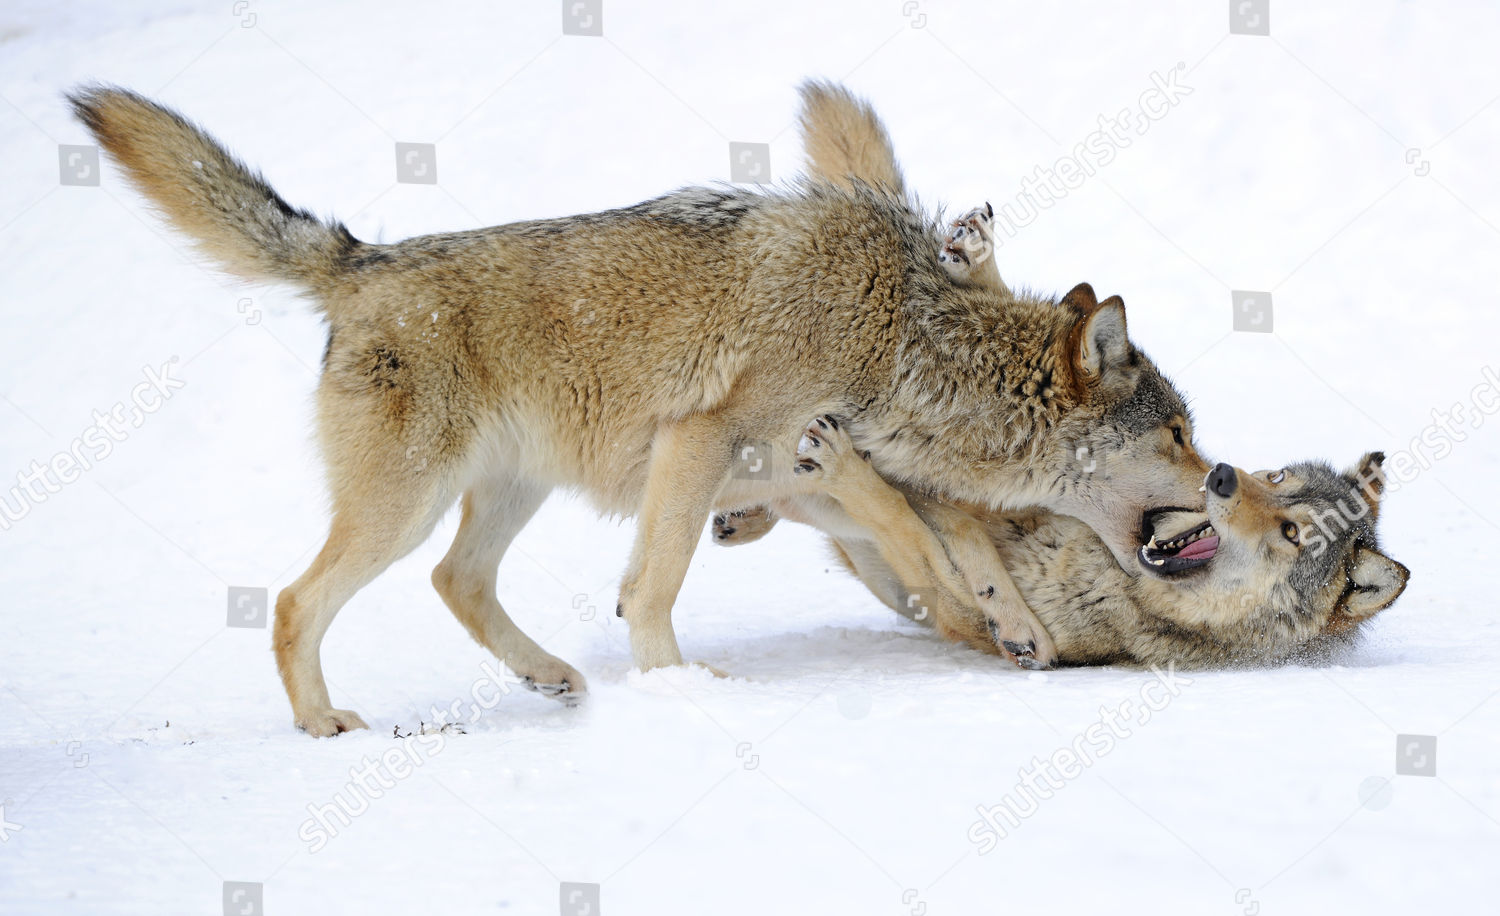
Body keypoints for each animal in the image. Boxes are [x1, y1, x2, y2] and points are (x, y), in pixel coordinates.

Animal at [70, 84, 1209, 736]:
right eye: (1182, 434)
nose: (1227, 476)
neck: (903, 340)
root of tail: (362, 259)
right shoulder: (705, 443)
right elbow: (658, 583)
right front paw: (675, 688)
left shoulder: (802, 476)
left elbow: (943, 533)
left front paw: (1011, 625)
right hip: (406, 507)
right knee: (296, 602)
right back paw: (323, 726)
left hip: (501, 496)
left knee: (455, 582)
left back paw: (552, 681)